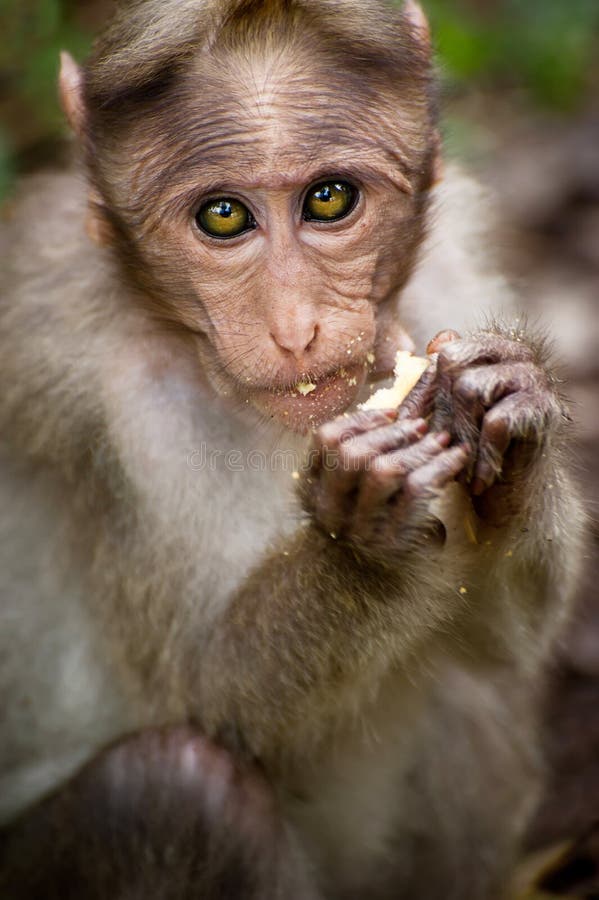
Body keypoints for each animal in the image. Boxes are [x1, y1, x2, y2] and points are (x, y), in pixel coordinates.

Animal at [0, 0, 585, 897]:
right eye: (223, 215)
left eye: (329, 199)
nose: (295, 328)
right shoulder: (121, 409)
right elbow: (213, 700)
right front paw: (360, 536)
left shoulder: (451, 277)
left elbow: (501, 646)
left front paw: (513, 420)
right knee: (171, 789)